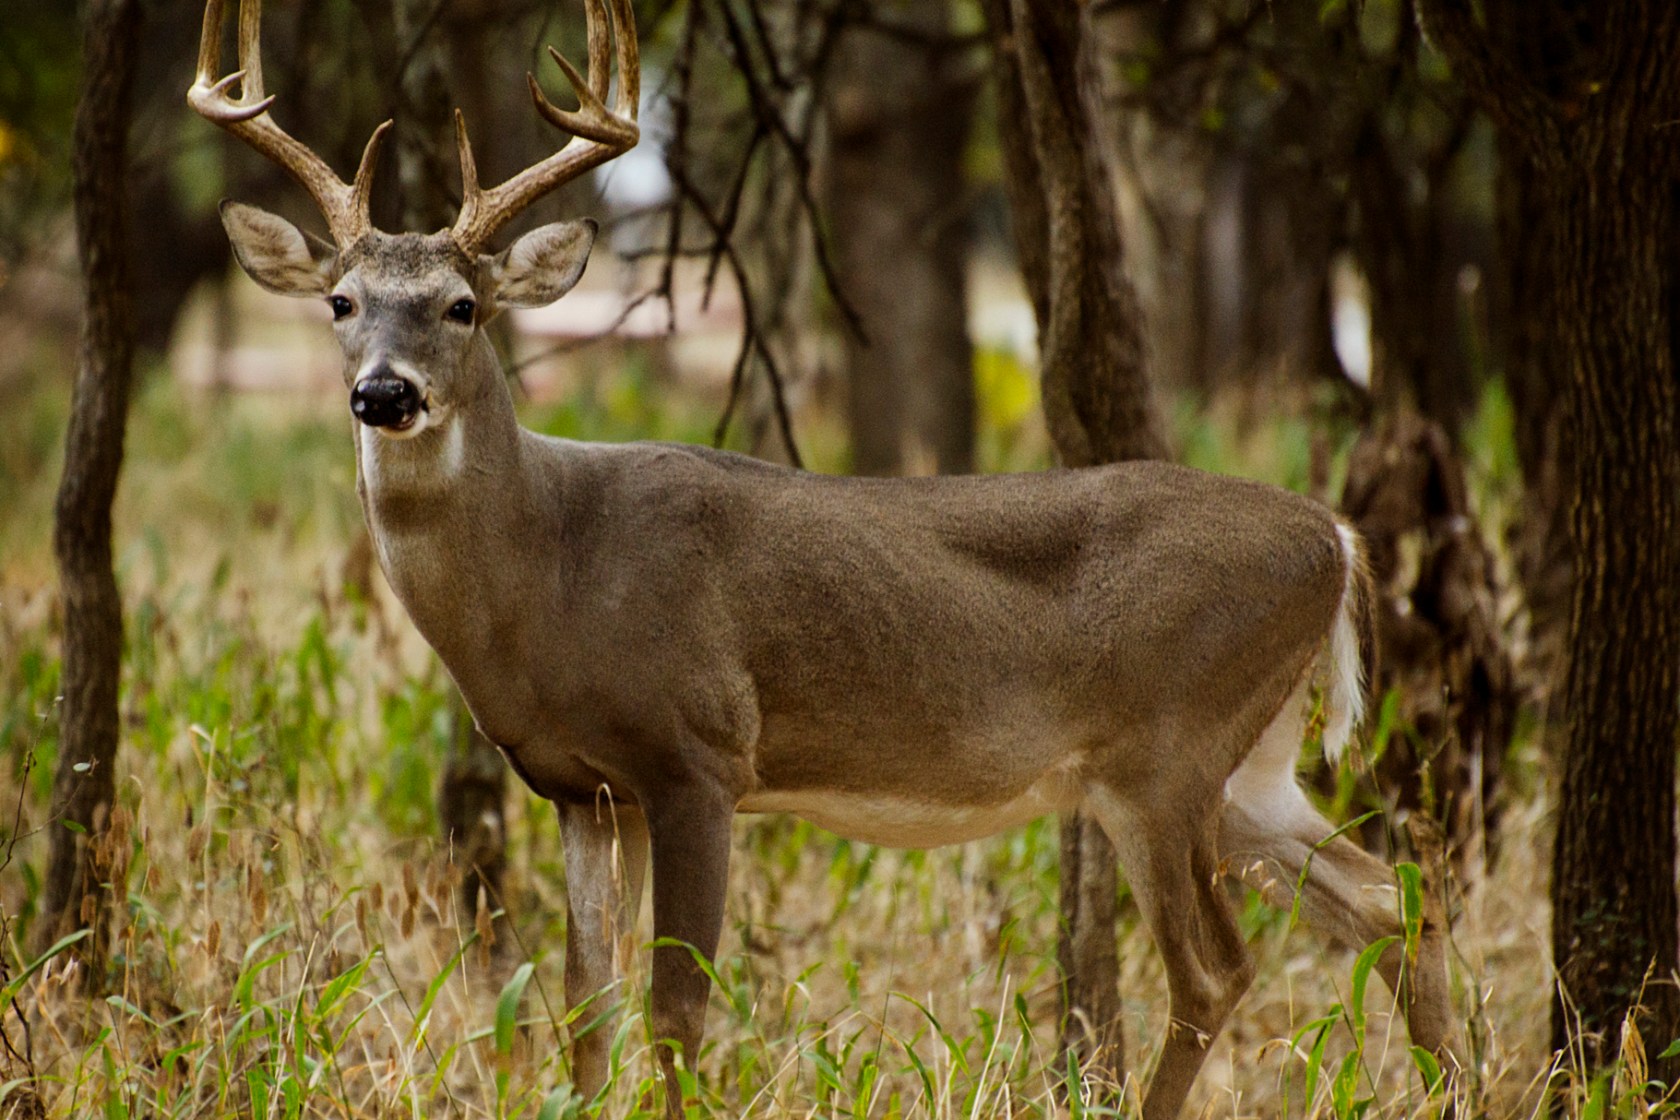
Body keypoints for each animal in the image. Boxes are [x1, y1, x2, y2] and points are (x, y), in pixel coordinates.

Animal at [188, 1, 1457, 1115]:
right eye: (341, 299)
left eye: (462, 304)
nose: (383, 393)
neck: (553, 571)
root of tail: (1334, 536)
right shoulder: (580, 787)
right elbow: (585, 1013)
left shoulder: (698, 751)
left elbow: (676, 1013)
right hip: (1253, 768)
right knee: (1395, 897)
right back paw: (1453, 1084)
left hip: (1168, 751)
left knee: (1219, 968)